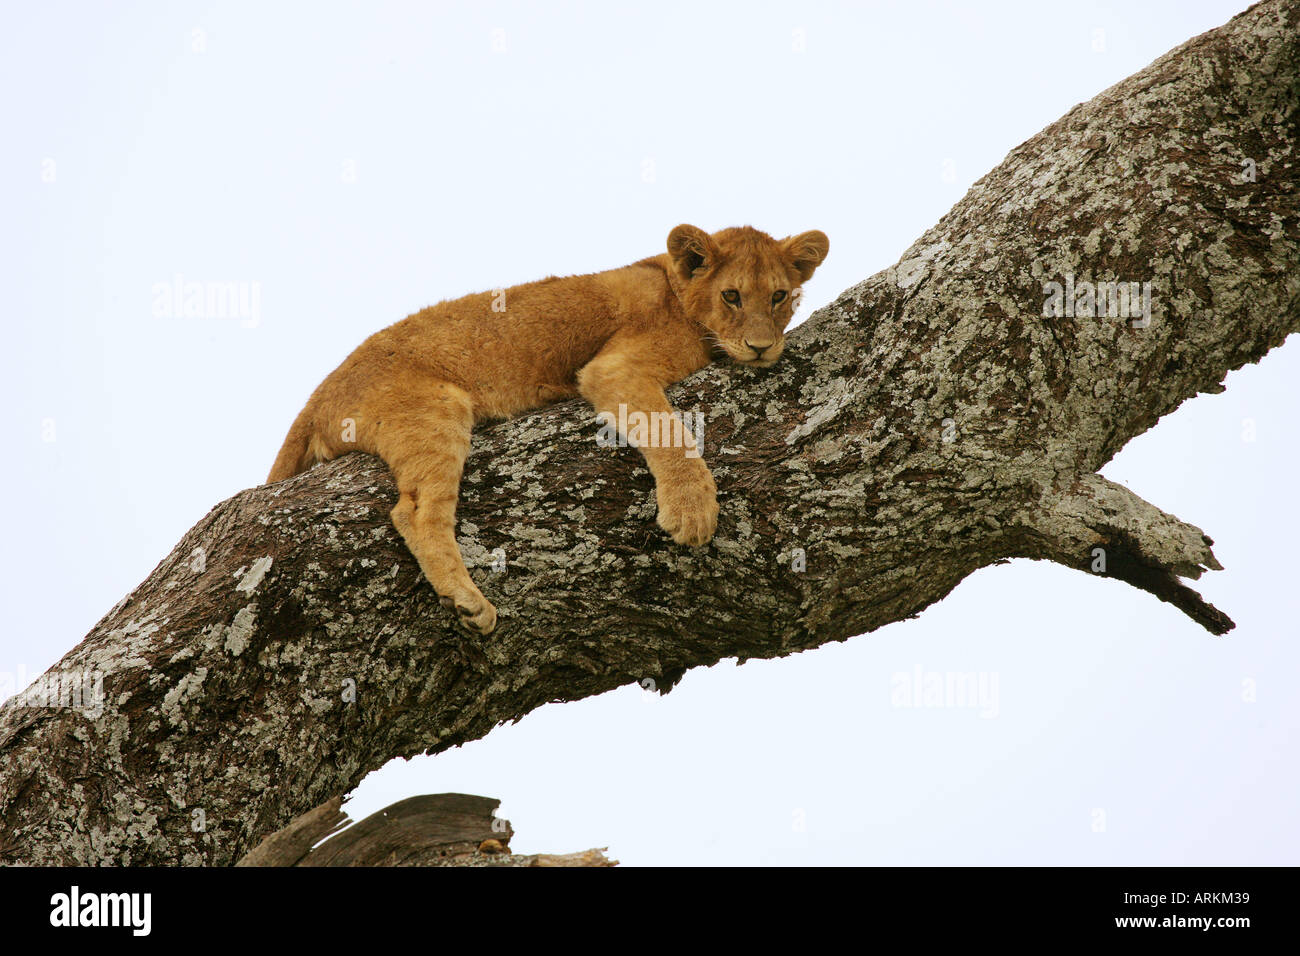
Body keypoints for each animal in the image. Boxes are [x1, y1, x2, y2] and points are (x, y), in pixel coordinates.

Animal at [267, 224, 829, 634]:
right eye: (732, 296)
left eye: (779, 296)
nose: (761, 347)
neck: (674, 289)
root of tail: (318, 397)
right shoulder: (613, 368)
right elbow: (670, 433)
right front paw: (692, 512)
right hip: (434, 409)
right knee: (416, 513)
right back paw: (468, 601)